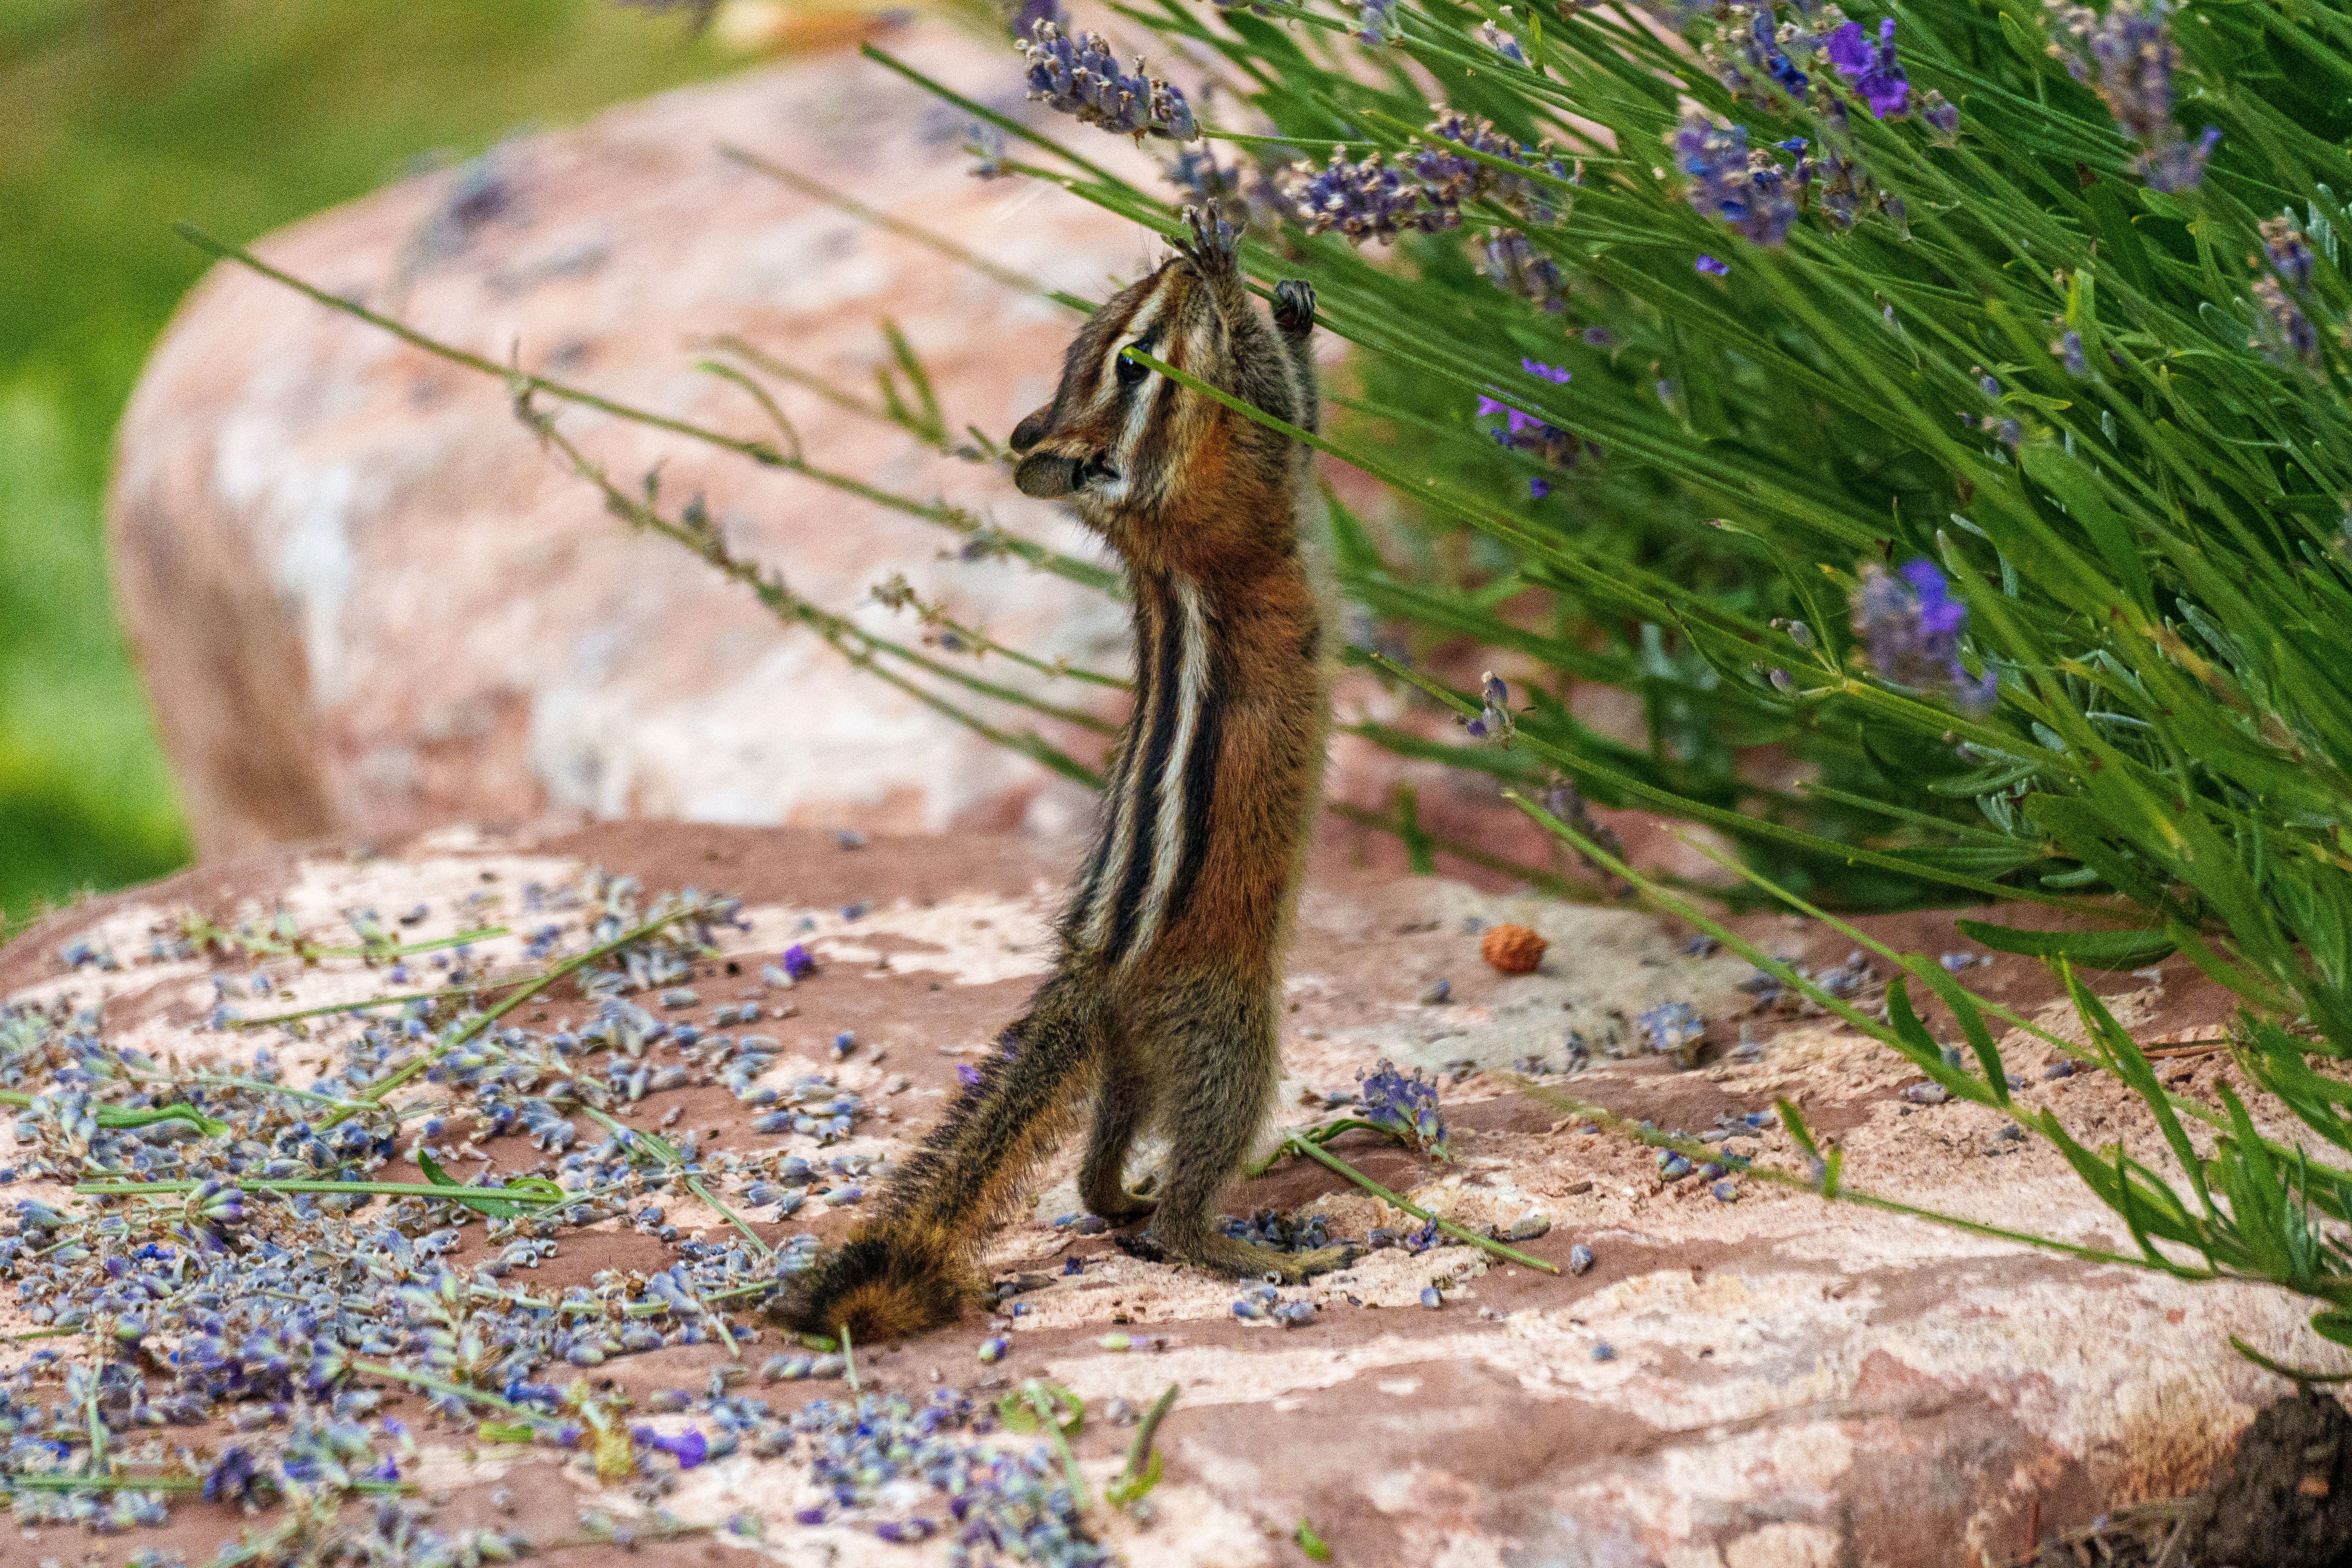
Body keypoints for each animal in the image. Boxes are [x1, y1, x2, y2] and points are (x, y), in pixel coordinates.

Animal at [774, 207, 1347, 1343]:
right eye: (1133, 360)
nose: (1179, 264)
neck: (1141, 518)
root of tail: (1094, 976)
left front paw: (1276, 289)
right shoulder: (1242, 481)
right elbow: (1291, 427)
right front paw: (1244, 285)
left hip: (1132, 1063)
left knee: (1093, 1166)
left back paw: (1121, 1194)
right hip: (1229, 1036)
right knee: (1185, 1203)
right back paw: (1252, 1251)